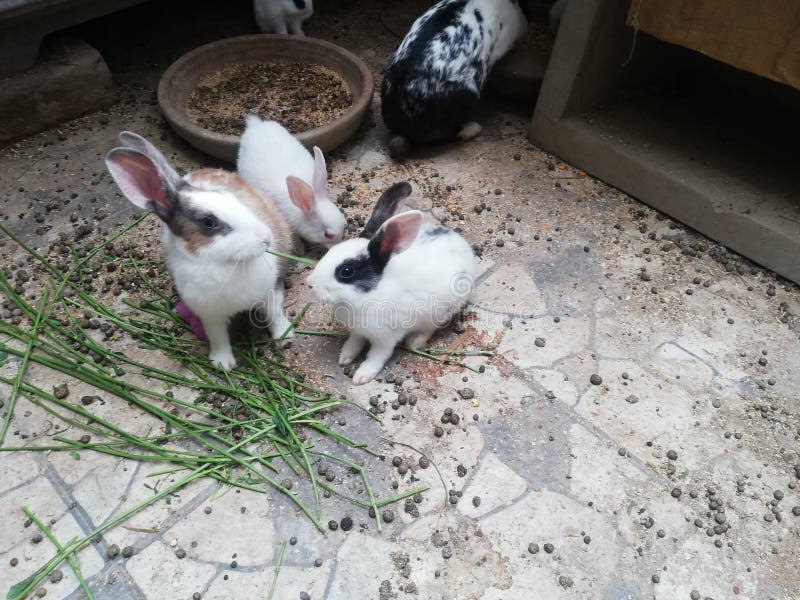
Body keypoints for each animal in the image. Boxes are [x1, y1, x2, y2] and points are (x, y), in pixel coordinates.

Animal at [105, 131, 294, 371]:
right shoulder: (208, 314)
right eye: (209, 222)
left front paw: (284, 337)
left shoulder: (268, 290)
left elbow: (274, 312)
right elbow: (218, 336)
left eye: (232, 199)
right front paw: (223, 364)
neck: (220, 264)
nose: (266, 237)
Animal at [306, 182, 476, 385]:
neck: (369, 295)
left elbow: (377, 356)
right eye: (329, 252)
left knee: (429, 328)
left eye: (346, 271)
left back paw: (415, 342)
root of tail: (462, 244)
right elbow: (354, 342)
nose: (309, 284)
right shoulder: (358, 331)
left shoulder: (386, 337)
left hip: (440, 312)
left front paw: (362, 376)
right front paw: (345, 357)